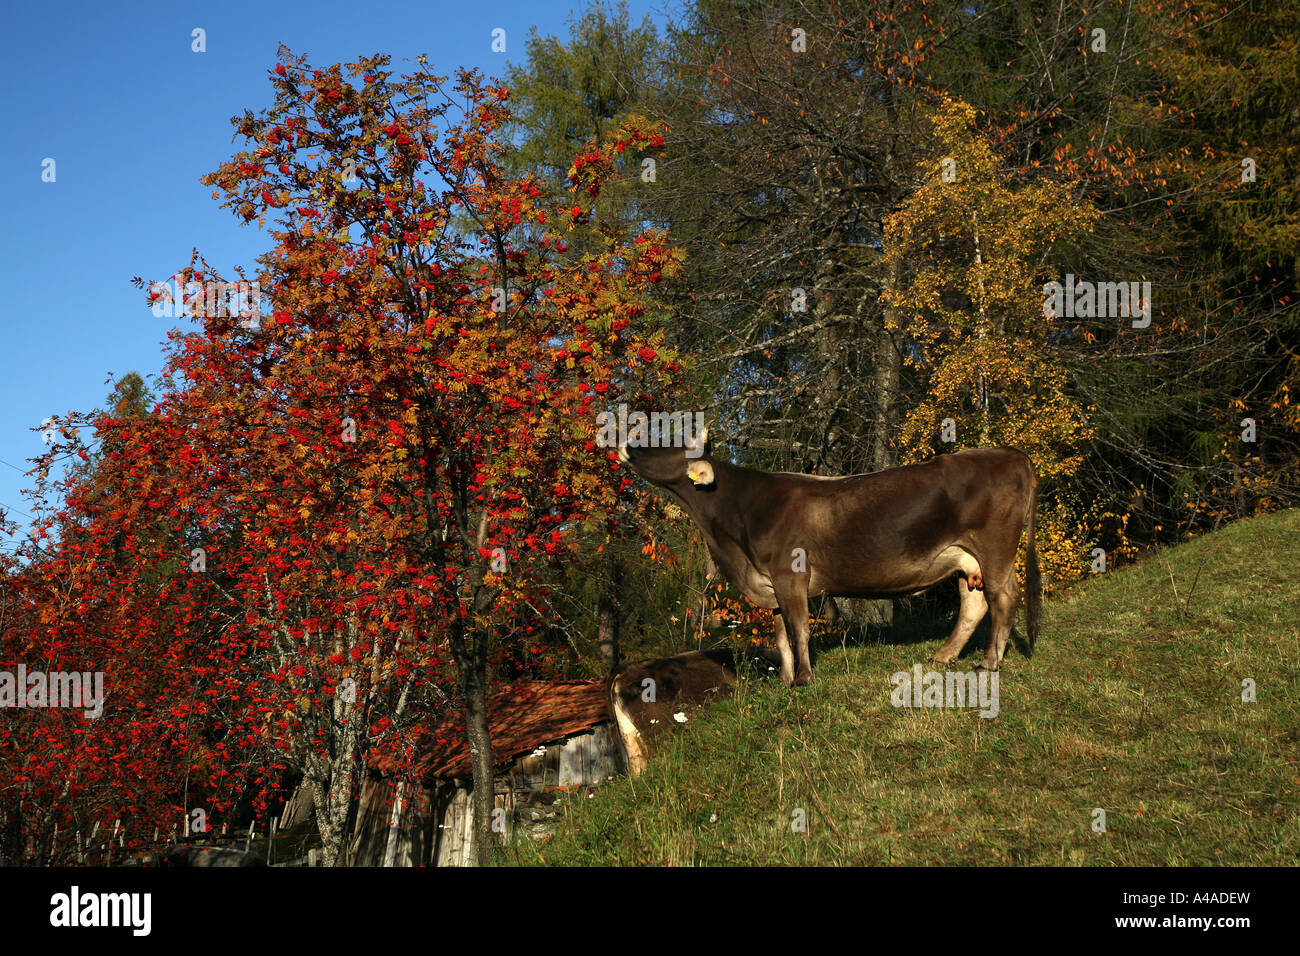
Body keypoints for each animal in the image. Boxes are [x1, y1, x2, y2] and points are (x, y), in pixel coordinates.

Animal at [618, 429, 1040, 687]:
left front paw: (804, 679)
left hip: (995, 547)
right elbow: (781, 636)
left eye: (668, 444)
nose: (628, 444)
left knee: (1004, 597)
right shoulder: (770, 582)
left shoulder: (791, 574)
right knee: (975, 603)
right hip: (965, 558)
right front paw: (785, 680)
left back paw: (989, 661)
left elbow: (799, 628)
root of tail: (1012, 454)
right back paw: (944, 657)